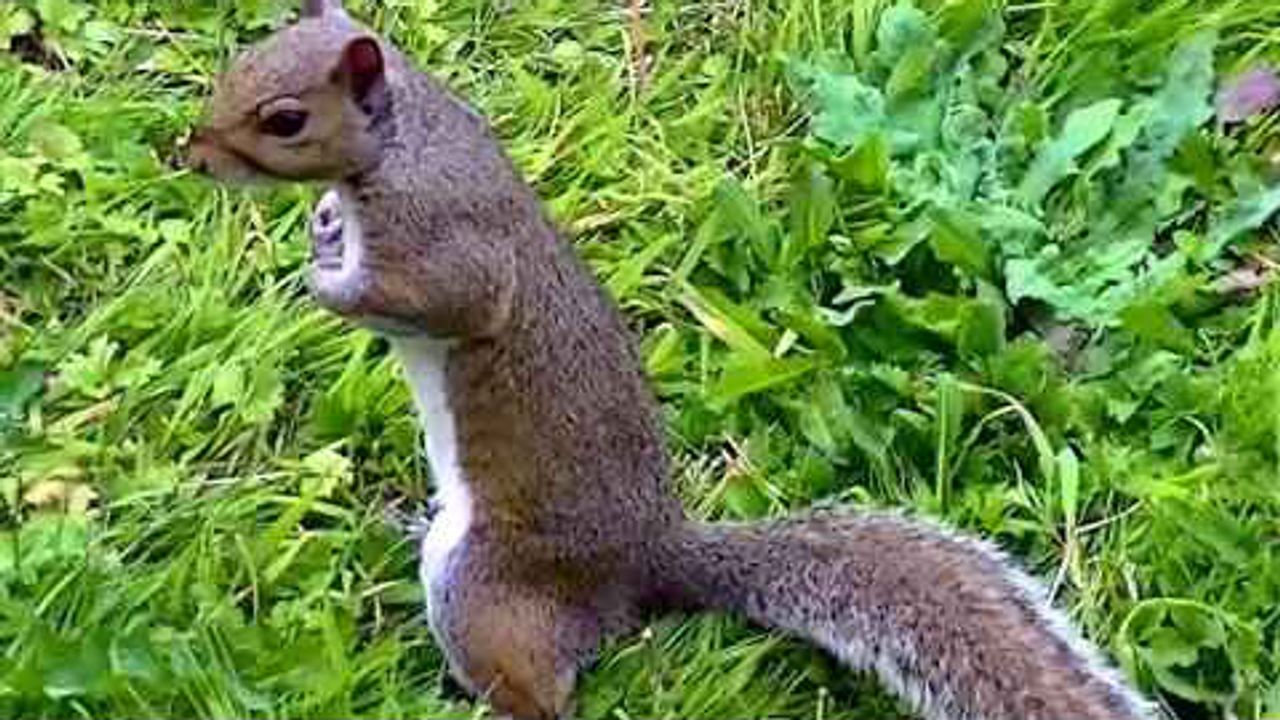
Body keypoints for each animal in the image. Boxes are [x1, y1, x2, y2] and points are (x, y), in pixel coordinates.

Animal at [186, 2, 1155, 719]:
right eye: (242, 62)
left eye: (285, 120)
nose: (188, 154)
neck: (403, 138)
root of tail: (647, 561)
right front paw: (322, 228)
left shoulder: (448, 239)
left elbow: (438, 302)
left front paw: (329, 284)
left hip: (485, 583)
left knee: (539, 692)